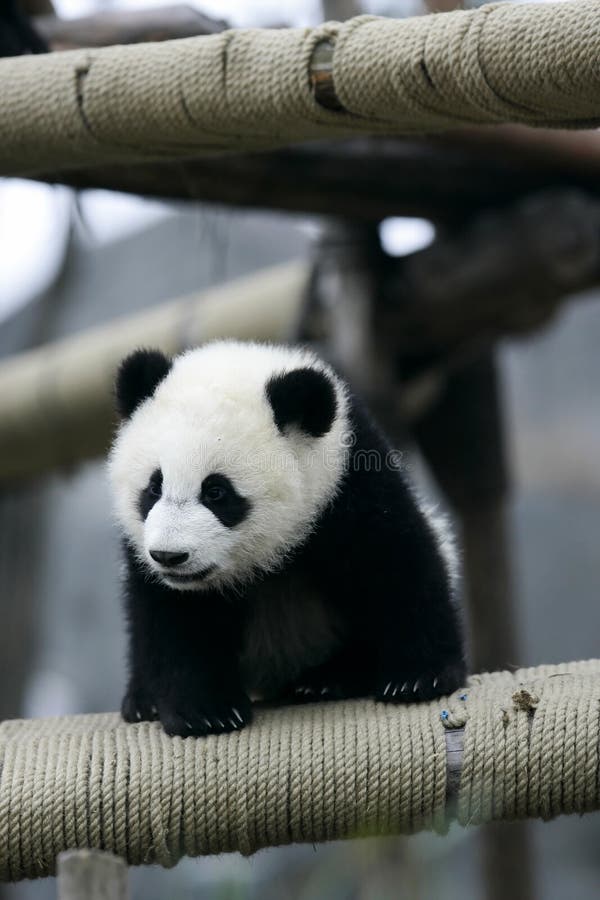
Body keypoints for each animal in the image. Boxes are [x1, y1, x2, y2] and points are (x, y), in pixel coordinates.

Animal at [108, 340, 465, 737]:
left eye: (216, 492)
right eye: (154, 488)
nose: (169, 556)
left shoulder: (349, 484)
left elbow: (397, 564)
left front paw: (419, 677)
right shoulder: (145, 557)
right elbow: (173, 616)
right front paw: (203, 712)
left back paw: (330, 677)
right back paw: (142, 701)